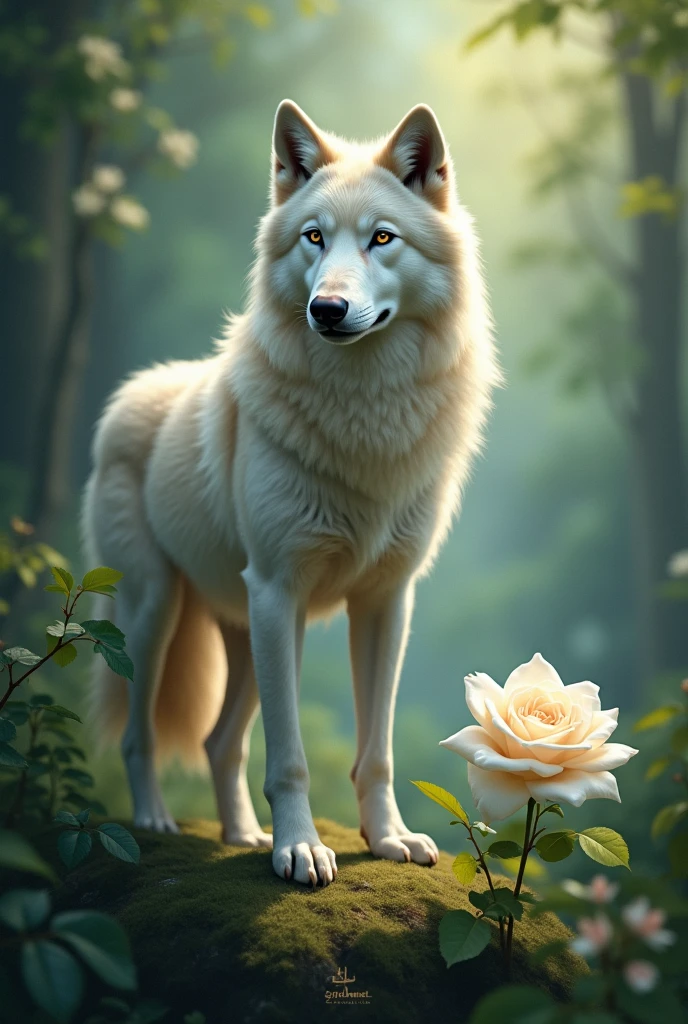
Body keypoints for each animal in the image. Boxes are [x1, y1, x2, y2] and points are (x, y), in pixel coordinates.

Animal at [82, 100, 500, 886]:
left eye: (381, 239)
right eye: (314, 237)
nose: (327, 309)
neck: (364, 414)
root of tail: (131, 392)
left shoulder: (385, 602)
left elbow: (377, 751)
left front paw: (389, 839)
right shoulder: (281, 591)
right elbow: (292, 759)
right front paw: (300, 850)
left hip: (245, 632)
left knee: (219, 742)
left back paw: (242, 834)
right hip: (158, 614)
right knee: (141, 734)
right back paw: (155, 820)